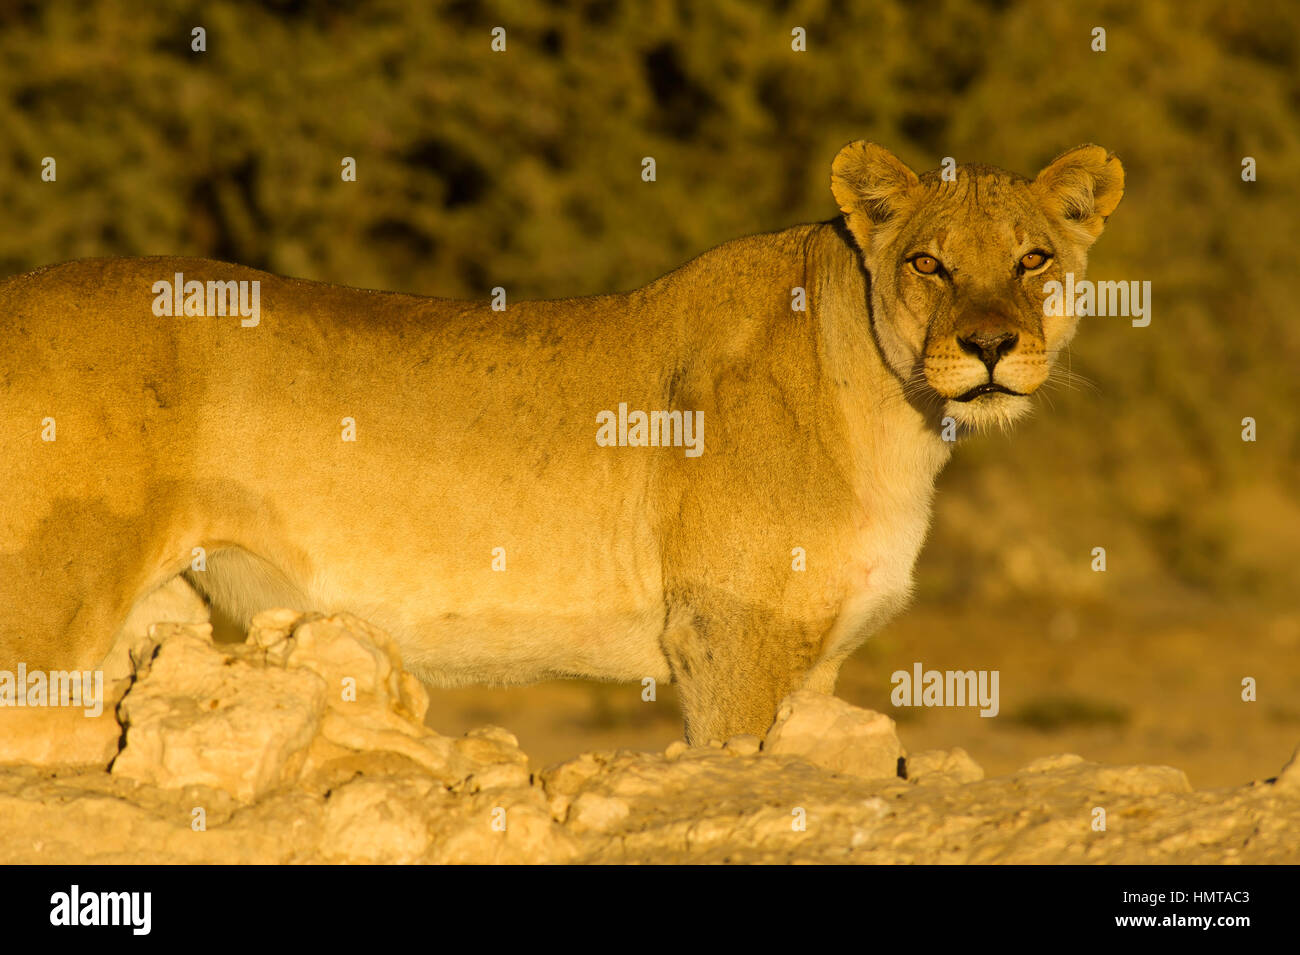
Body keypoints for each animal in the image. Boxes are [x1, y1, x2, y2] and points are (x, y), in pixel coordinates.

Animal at [0, 143, 1122, 747]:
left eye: (1034, 258)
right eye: (929, 263)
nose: (989, 346)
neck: (897, 420)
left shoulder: (815, 666)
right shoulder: (727, 643)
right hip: (44, 613)